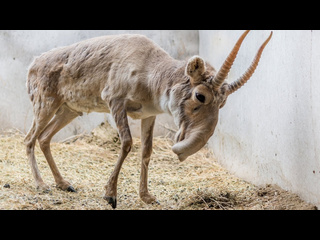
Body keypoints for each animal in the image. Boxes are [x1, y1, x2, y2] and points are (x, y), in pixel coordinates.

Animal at [23, 30, 272, 208]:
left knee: (44, 138)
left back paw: (64, 184)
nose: (183, 149)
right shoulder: (115, 100)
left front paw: (147, 196)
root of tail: (32, 64)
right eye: (200, 96)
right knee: (29, 139)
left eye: (223, 103)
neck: (151, 73)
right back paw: (41, 185)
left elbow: (146, 151)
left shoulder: (149, 114)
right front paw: (110, 195)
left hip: (68, 109)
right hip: (45, 104)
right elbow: (126, 143)